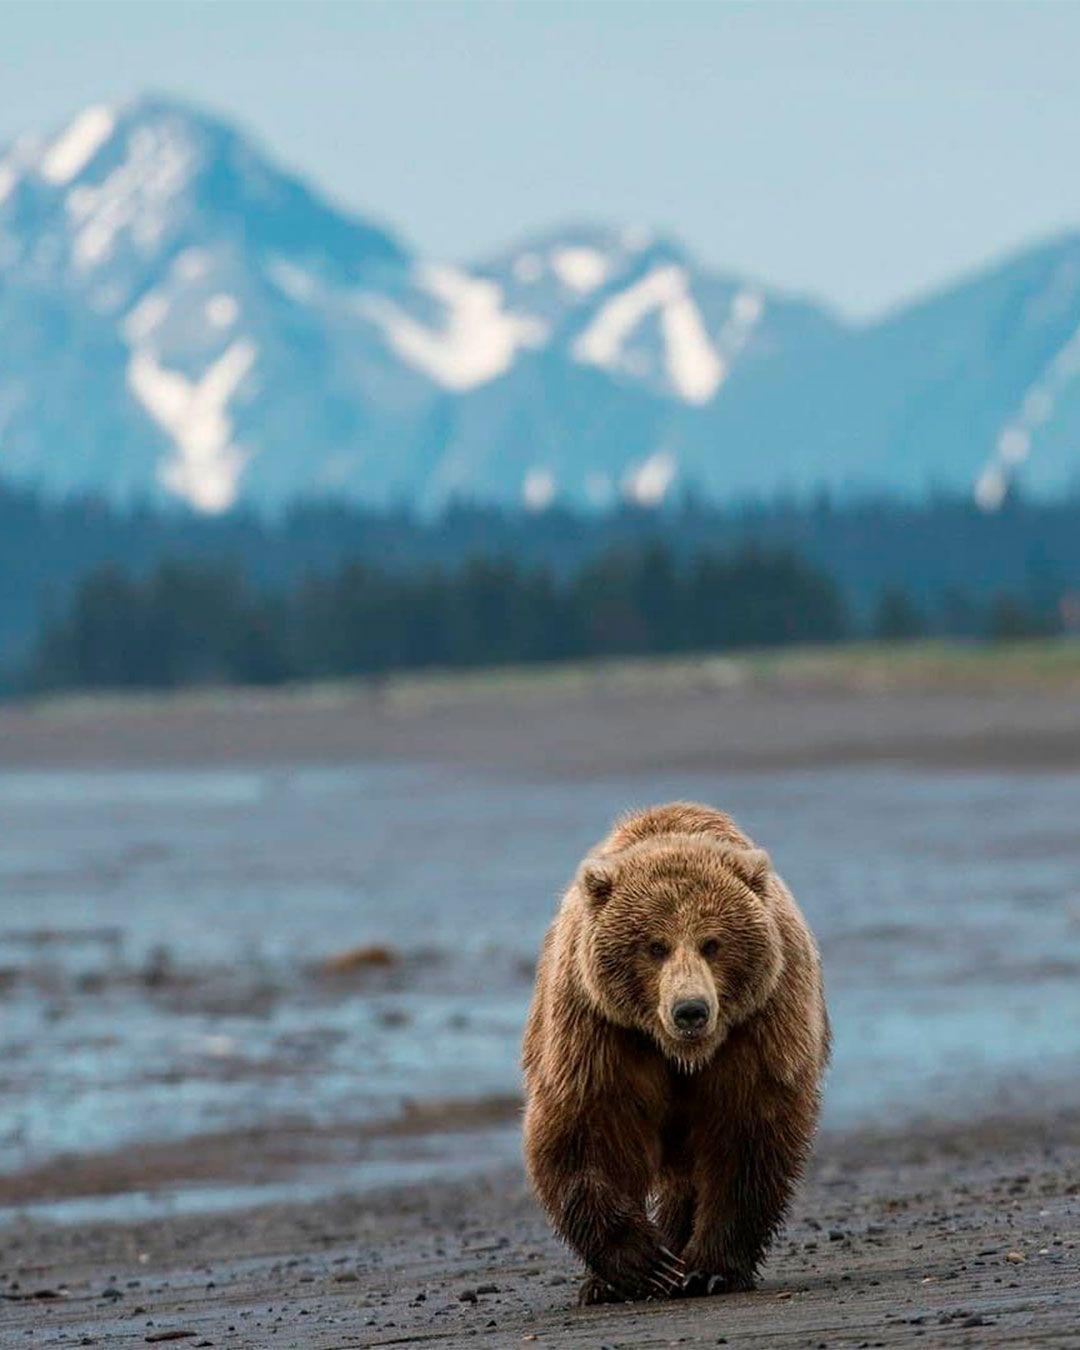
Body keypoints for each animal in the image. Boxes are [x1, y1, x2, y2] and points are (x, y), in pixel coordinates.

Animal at [522, 801, 829, 1305]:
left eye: (712, 942)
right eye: (655, 945)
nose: (690, 1010)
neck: (681, 1053)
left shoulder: (758, 1027)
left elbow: (746, 1135)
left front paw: (709, 1269)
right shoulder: (599, 1030)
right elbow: (587, 1128)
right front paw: (643, 1265)